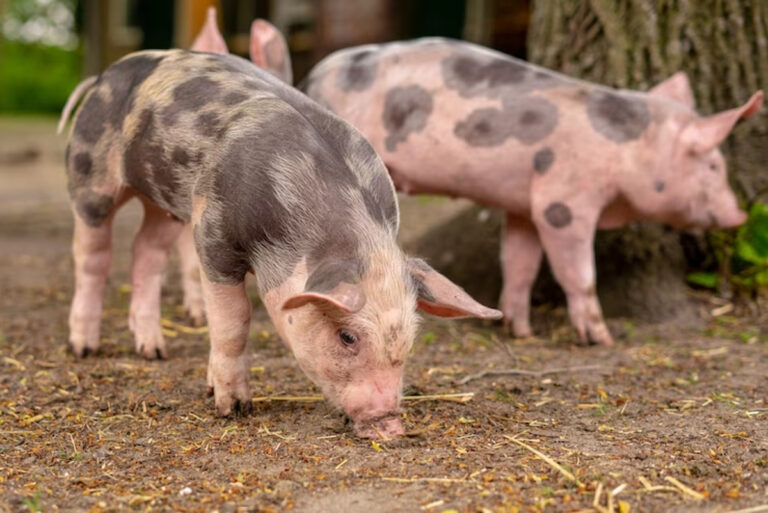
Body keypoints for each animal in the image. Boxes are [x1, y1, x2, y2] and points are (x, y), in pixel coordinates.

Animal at [57, 48, 501, 438]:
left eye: (409, 336)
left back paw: (153, 351)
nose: (390, 425)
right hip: (90, 177)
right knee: (91, 256)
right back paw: (83, 348)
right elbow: (233, 321)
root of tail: (103, 77)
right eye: (347, 337)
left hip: (164, 202)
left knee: (145, 250)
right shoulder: (212, 233)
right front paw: (232, 408)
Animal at [296, 38, 764, 346]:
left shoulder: (523, 205)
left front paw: (518, 330)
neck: (628, 149)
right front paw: (602, 339)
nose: (740, 214)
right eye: (713, 164)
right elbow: (579, 273)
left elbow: (520, 263)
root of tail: (314, 76)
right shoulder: (563, 203)